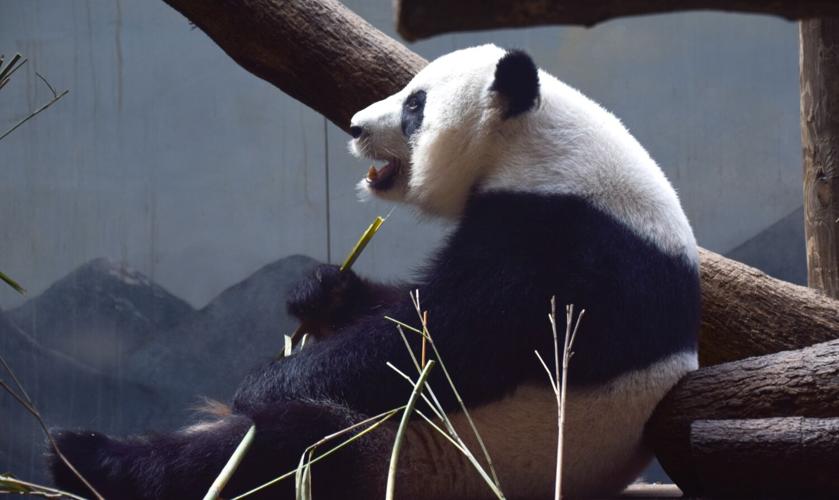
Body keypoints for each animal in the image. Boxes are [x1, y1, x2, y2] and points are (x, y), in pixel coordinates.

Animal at [51, 45, 700, 499]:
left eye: (415, 105)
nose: (357, 126)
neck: (541, 144)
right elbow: (402, 308)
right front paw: (324, 289)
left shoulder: (567, 242)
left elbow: (440, 343)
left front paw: (264, 380)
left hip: (424, 460)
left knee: (289, 444)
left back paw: (89, 459)